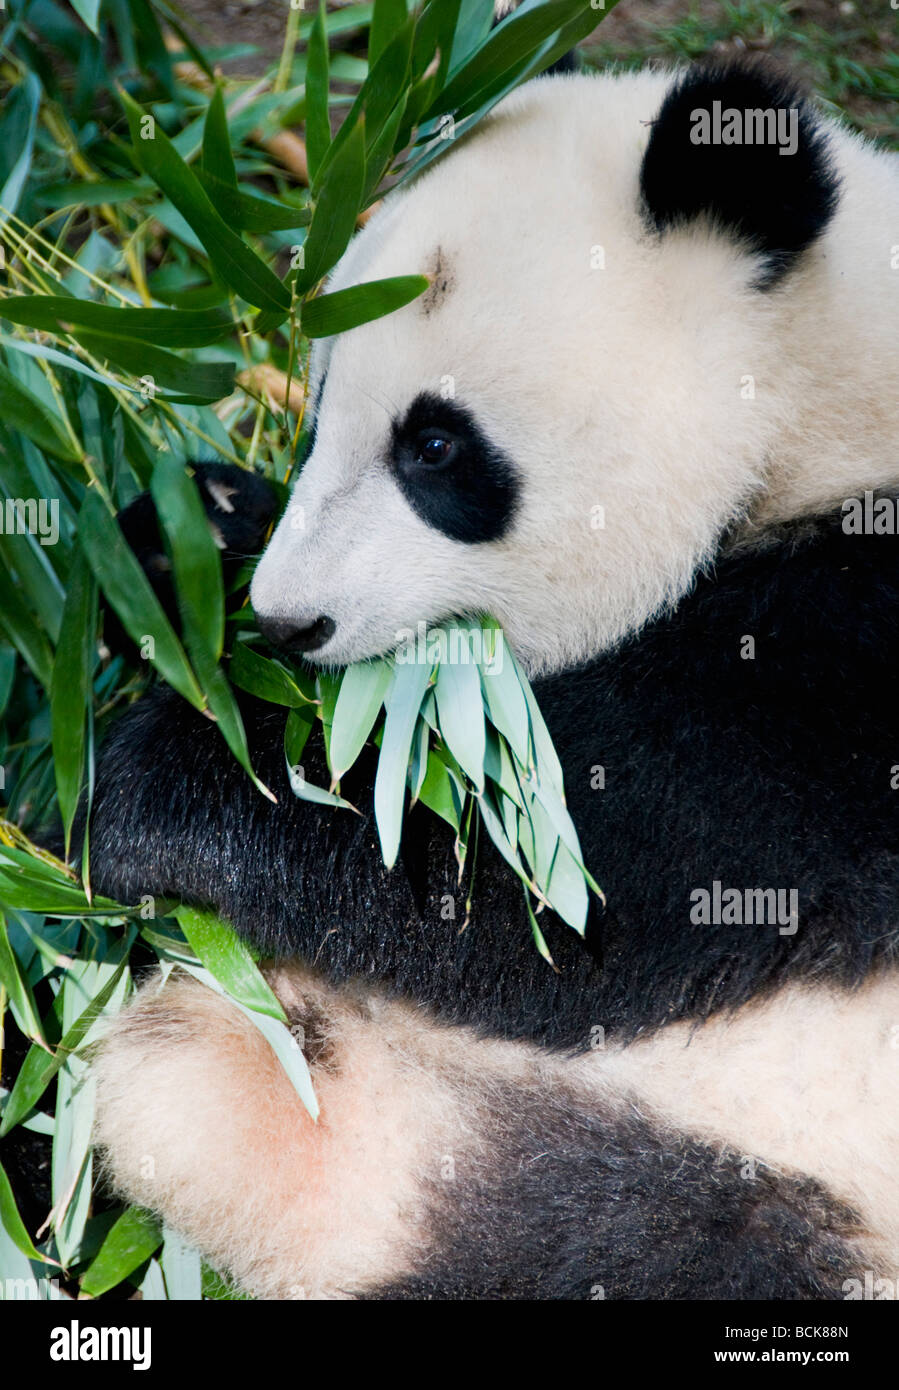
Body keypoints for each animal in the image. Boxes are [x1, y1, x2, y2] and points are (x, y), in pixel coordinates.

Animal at [83, 59, 899, 1300]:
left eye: (435, 448)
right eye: (316, 409)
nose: (289, 618)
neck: (820, 399)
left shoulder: (842, 672)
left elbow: (554, 891)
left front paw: (138, 782)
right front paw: (186, 549)